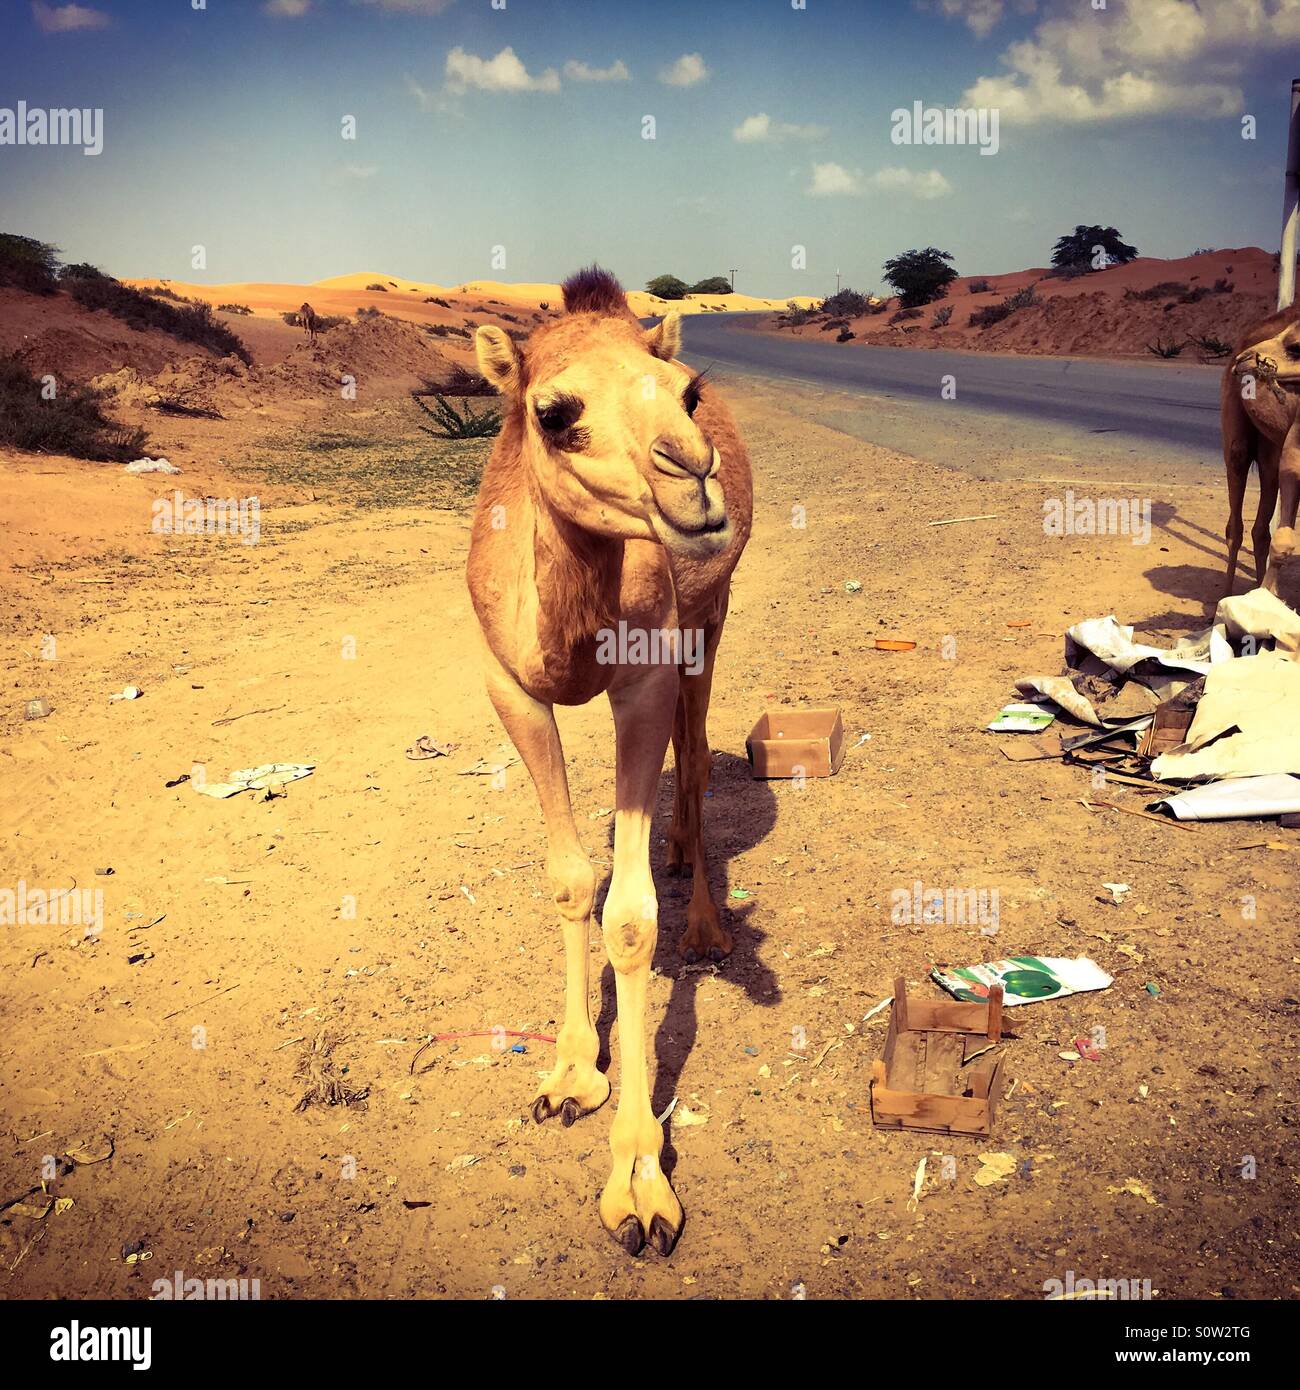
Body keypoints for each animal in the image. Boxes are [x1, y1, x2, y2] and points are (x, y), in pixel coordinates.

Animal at [465, 266, 752, 1255]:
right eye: (554, 413)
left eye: (687, 394)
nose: (695, 477)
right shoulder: (510, 685)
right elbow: (568, 879)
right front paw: (566, 1075)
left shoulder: (645, 679)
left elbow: (629, 919)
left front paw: (638, 1182)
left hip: (710, 621)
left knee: (697, 759)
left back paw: (706, 923)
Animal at [1221, 302, 1300, 594]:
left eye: (1296, 346)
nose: (1245, 359)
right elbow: (1284, 542)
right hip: (1236, 437)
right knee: (1235, 528)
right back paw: (1226, 596)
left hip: (1270, 446)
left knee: (1261, 527)